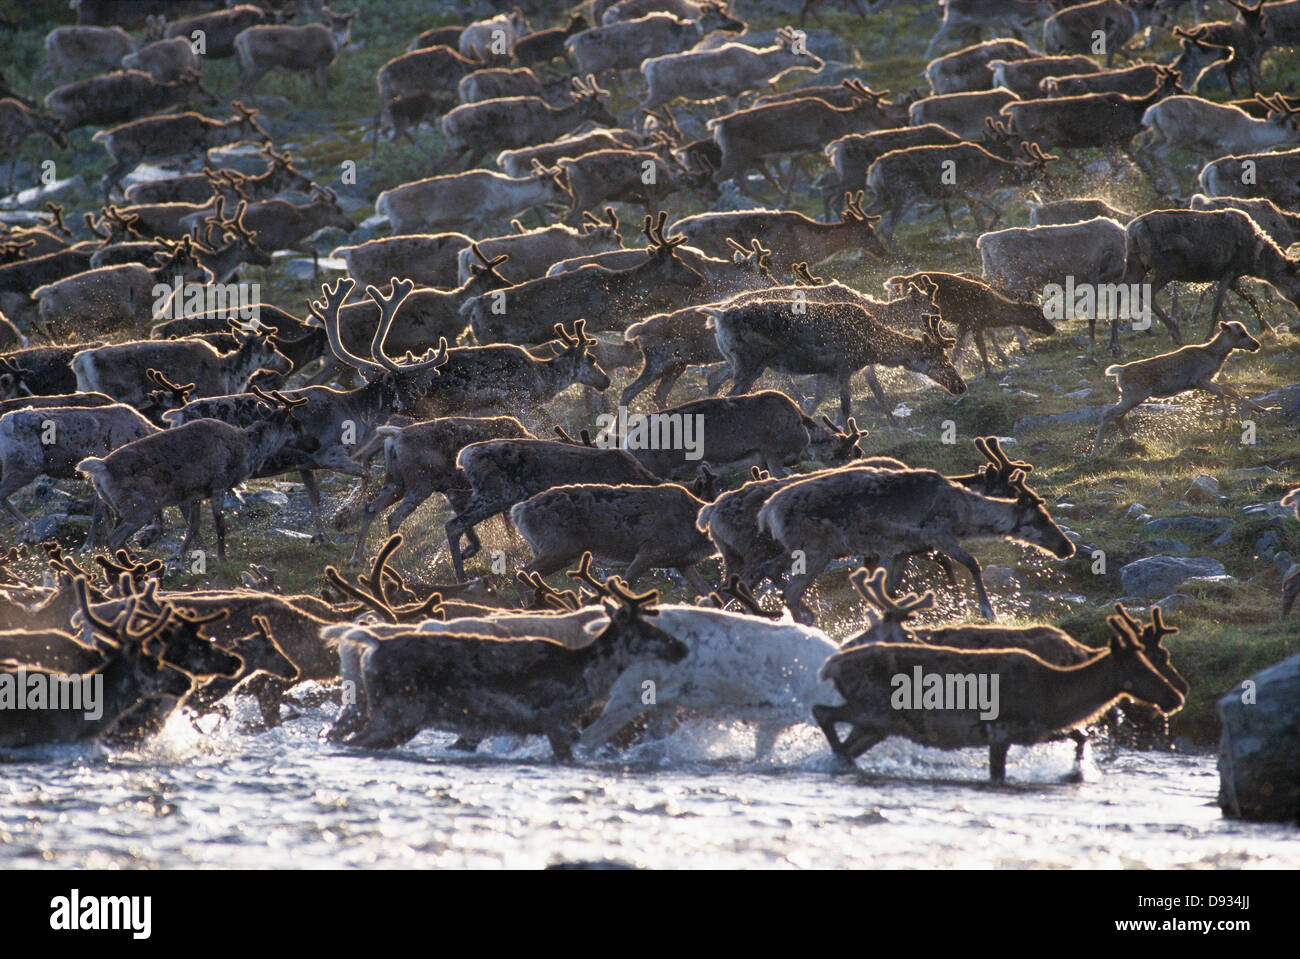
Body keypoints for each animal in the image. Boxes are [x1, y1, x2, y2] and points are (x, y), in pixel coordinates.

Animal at [92, 101, 269, 199]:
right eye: (253, 126)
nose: (266, 137)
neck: (211, 134)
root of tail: (107, 136)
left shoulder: (184, 158)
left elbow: (182, 175)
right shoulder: (200, 152)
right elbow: (212, 168)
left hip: (123, 161)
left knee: (107, 173)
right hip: (130, 160)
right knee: (107, 180)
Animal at [757, 467, 1074, 623]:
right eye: (1041, 518)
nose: (1067, 547)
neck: (965, 514)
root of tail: (766, 511)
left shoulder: (902, 550)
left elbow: (891, 588)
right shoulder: (938, 534)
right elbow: (972, 563)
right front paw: (987, 610)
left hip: (798, 551)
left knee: (776, 577)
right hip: (815, 550)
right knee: (790, 591)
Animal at [814, 612, 1183, 780]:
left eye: (1151, 660)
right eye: (1138, 667)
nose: (1175, 697)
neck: (1053, 695)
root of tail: (830, 665)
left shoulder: (1034, 731)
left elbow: (1079, 736)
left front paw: (1077, 771)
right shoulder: (999, 731)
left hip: (878, 724)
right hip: (871, 708)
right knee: (822, 711)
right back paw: (842, 761)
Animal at [1091, 320, 1269, 455]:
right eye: (1242, 333)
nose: (1256, 344)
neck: (1215, 356)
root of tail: (1119, 371)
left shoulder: (1205, 380)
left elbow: (1229, 390)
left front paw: (1260, 409)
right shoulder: (1199, 380)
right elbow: (1221, 392)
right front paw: (1224, 421)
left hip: (1131, 396)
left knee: (1118, 416)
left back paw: (1131, 440)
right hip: (1134, 395)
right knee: (1108, 414)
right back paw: (1095, 451)